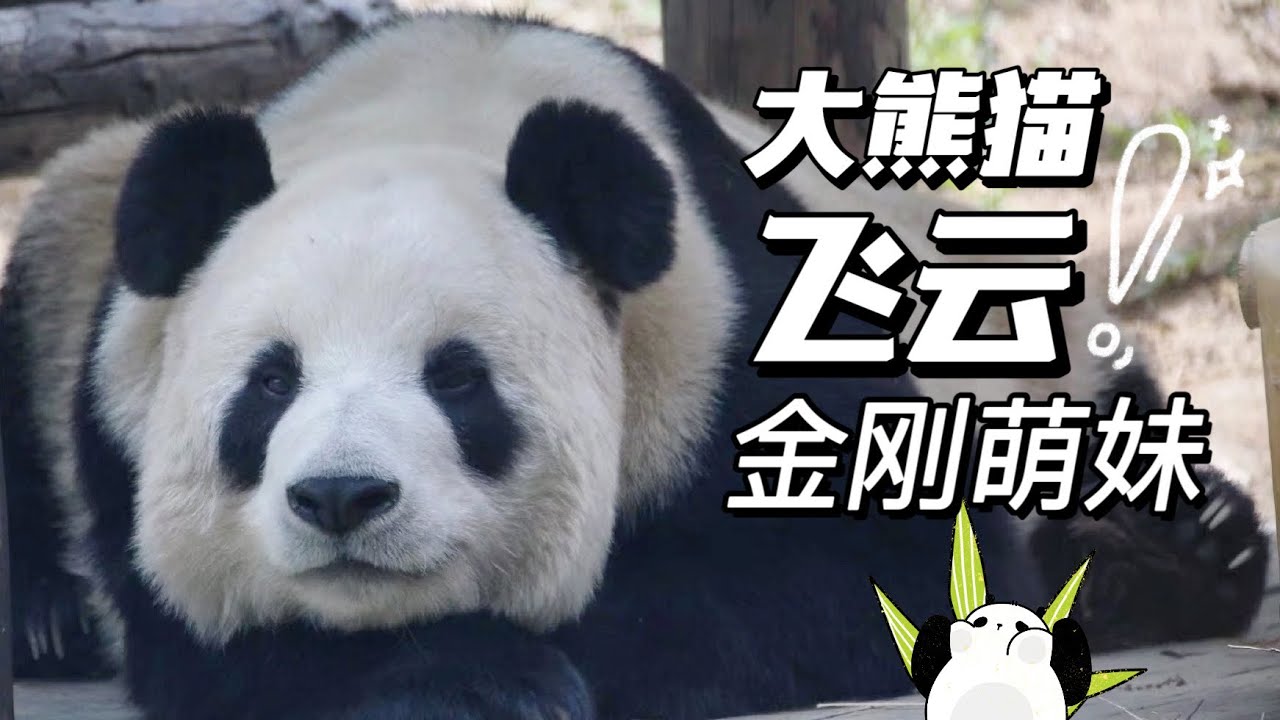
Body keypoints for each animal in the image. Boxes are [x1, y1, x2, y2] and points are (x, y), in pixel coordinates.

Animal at [0, 10, 1269, 720]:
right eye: (269, 384)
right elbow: (225, 646)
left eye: (456, 378)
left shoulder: (732, 337)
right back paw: (47, 621)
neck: (439, 109)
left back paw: (1174, 545)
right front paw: (470, 673)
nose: (342, 498)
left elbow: (854, 579)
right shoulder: (121, 417)